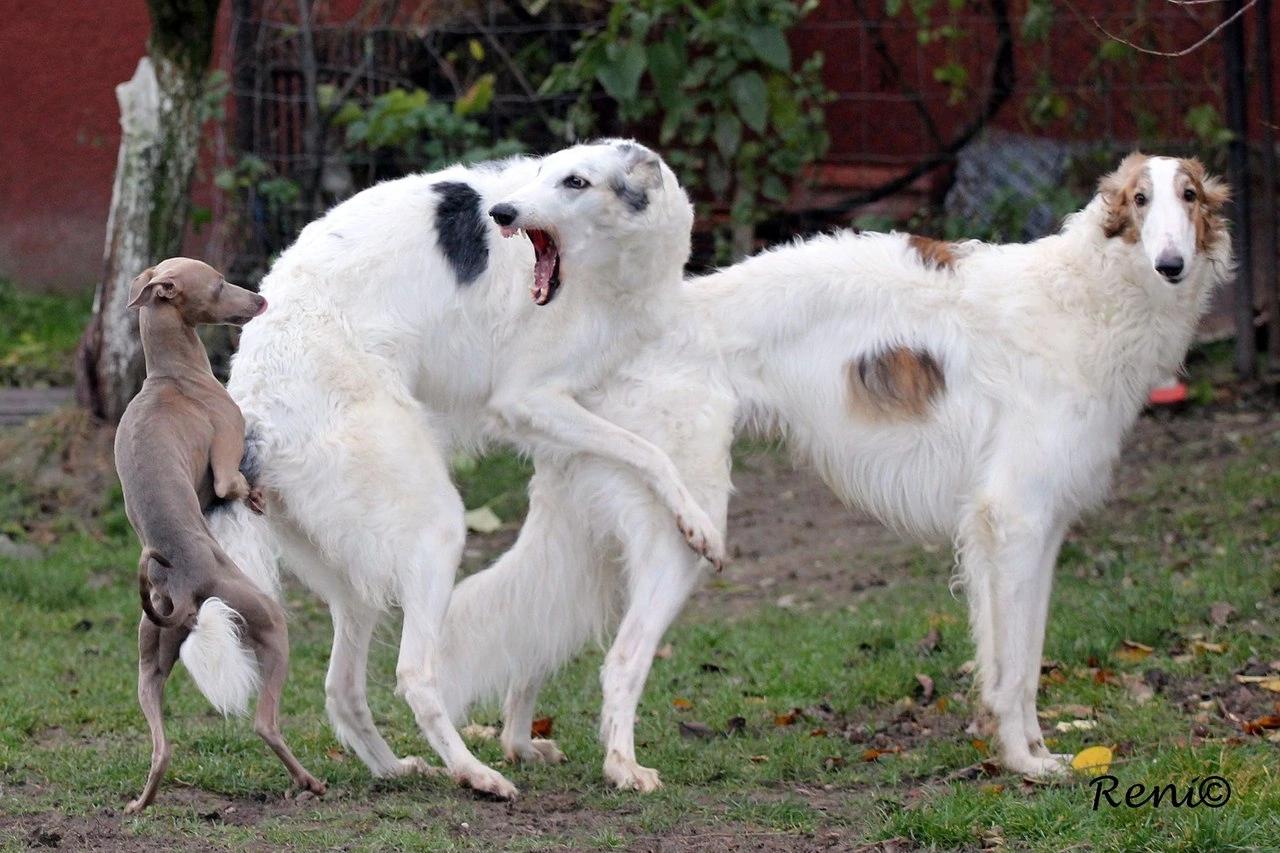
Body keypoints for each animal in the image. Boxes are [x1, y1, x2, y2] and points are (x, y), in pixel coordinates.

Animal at [198, 139, 721, 799]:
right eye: (545, 174)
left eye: (574, 180)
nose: (502, 214)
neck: (607, 268)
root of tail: (255, 412)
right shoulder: (527, 399)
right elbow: (648, 452)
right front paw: (697, 522)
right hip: (435, 528)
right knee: (415, 675)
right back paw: (475, 773)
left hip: (354, 579)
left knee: (341, 690)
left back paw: (397, 768)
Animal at [437, 154, 1228, 783]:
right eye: (1140, 201)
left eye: (1189, 196)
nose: (1172, 265)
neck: (1086, 296)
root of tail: (622, 336)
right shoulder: (1013, 519)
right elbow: (1011, 673)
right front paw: (1023, 763)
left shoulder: (1040, 529)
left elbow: (1024, 659)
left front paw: (1035, 752)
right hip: (681, 533)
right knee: (620, 659)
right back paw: (624, 769)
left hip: (591, 537)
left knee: (533, 634)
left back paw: (521, 742)